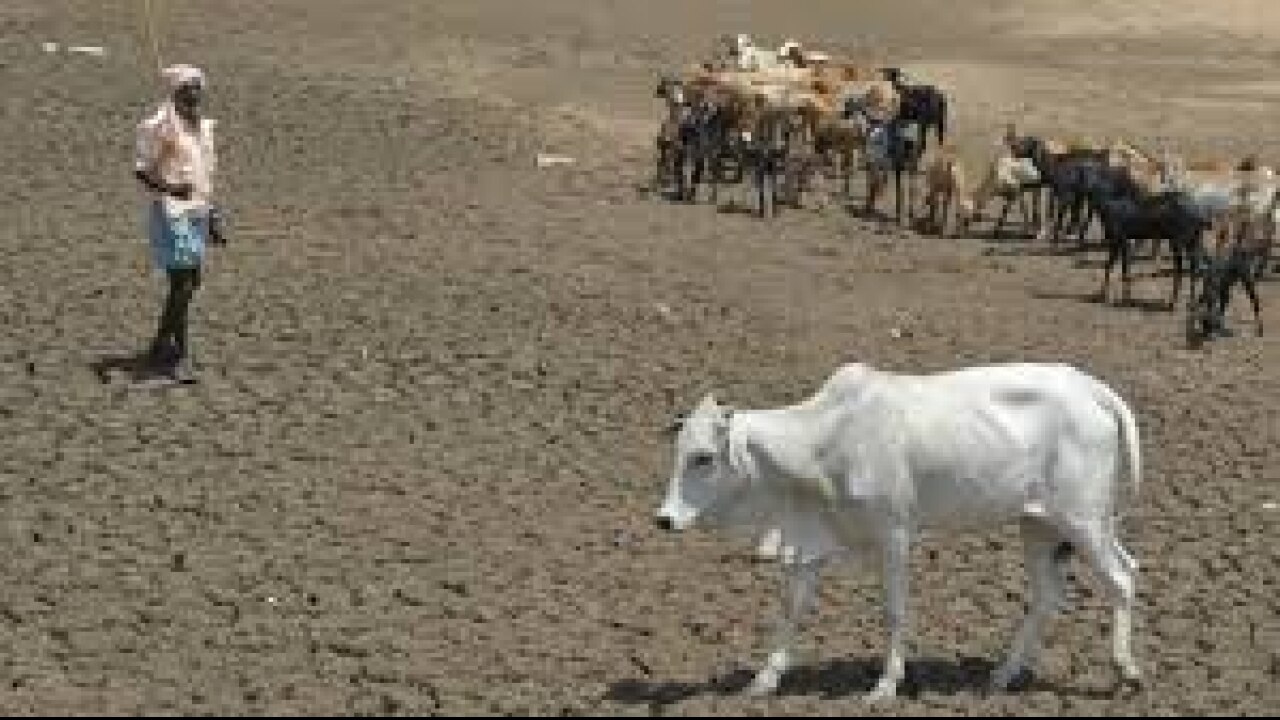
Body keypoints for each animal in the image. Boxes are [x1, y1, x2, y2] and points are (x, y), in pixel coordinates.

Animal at [654, 362, 1143, 702]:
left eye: (703, 457)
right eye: (678, 452)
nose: (664, 519)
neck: (825, 442)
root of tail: (1090, 387)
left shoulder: (893, 534)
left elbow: (893, 610)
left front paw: (886, 685)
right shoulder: (814, 539)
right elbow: (792, 608)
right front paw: (764, 680)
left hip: (1082, 518)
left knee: (1121, 577)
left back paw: (1126, 671)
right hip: (1038, 524)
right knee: (1047, 596)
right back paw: (1001, 677)